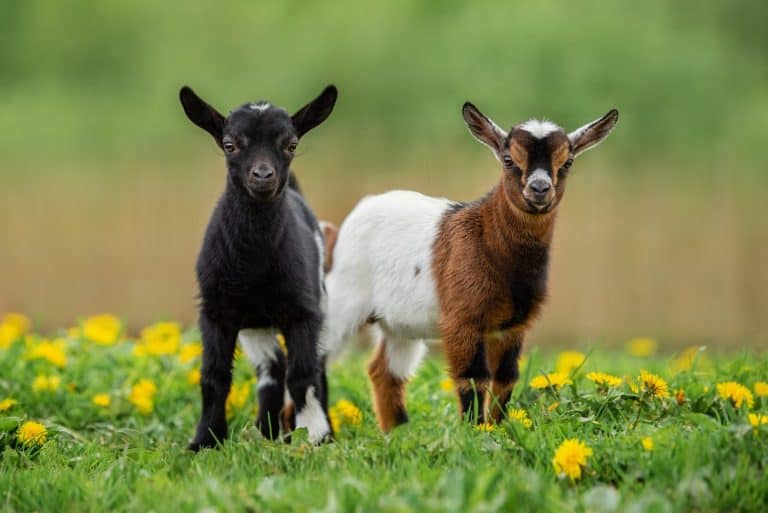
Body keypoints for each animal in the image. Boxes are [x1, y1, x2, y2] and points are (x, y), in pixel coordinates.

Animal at [179, 84, 337, 450]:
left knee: (315, 370)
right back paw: (266, 432)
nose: (263, 176)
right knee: (271, 369)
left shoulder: (304, 312)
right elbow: (214, 377)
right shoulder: (216, 311)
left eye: (291, 144)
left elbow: (303, 375)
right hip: (255, 324)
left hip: (319, 302)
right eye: (230, 144)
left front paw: (314, 437)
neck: (255, 262)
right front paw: (204, 440)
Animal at [322, 103, 618, 430]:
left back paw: (398, 432)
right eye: (508, 159)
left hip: (399, 323)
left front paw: (497, 428)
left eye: (567, 162)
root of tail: (340, 232)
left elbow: (506, 377)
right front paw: (475, 430)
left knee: (384, 372)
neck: (488, 238)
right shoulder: (464, 319)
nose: (540, 188)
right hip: (342, 300)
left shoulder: (512, 326)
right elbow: (473, 378)